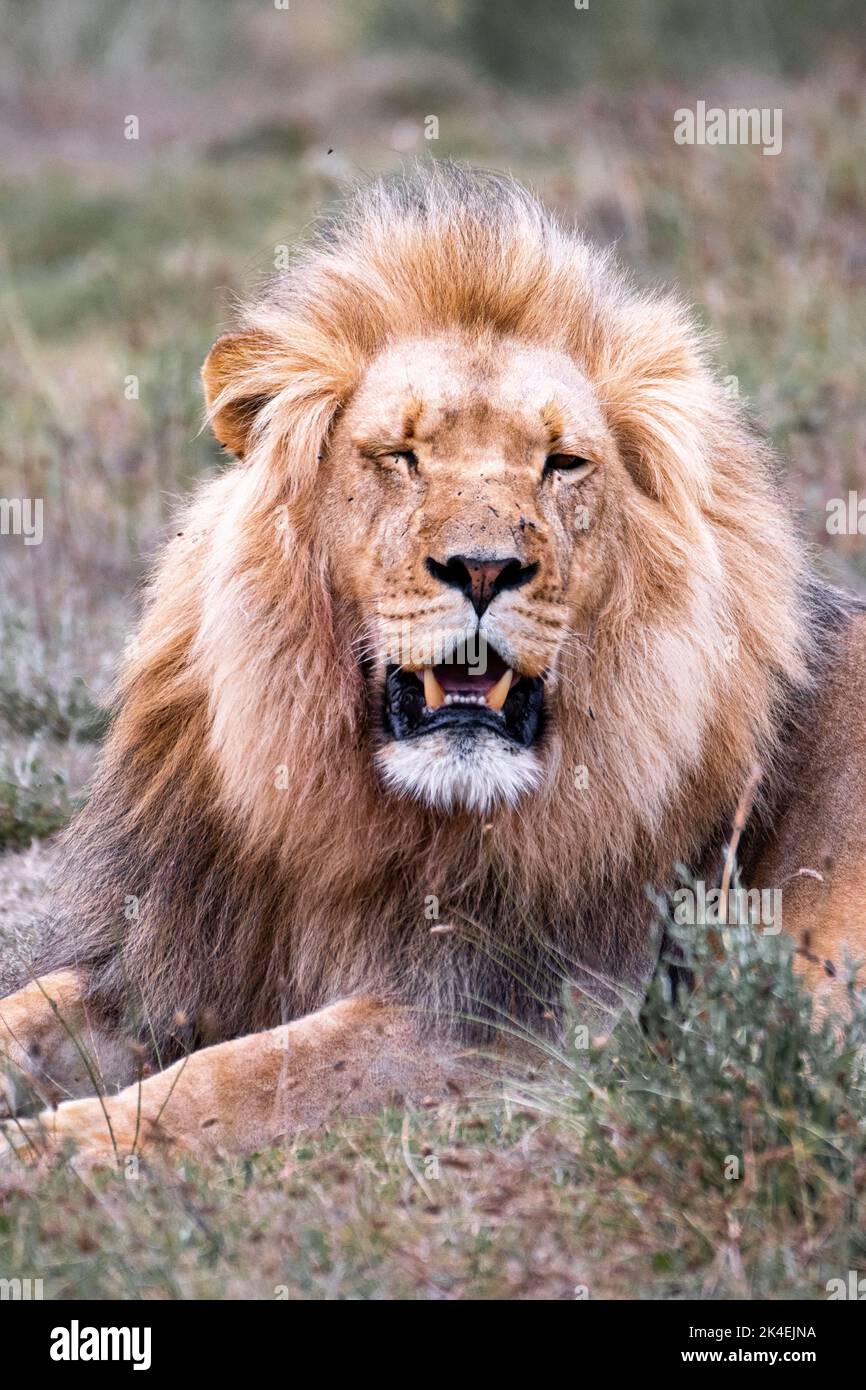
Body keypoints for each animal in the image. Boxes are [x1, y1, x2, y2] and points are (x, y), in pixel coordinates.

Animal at [2, 162, 865, 1165]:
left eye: (562, 463)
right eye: (401, 456)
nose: (484, 568)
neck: (365, 816)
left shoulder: (506, 1023)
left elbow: (239, 1077)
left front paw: (47, 1150)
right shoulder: (177, 953)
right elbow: (35, 1010)